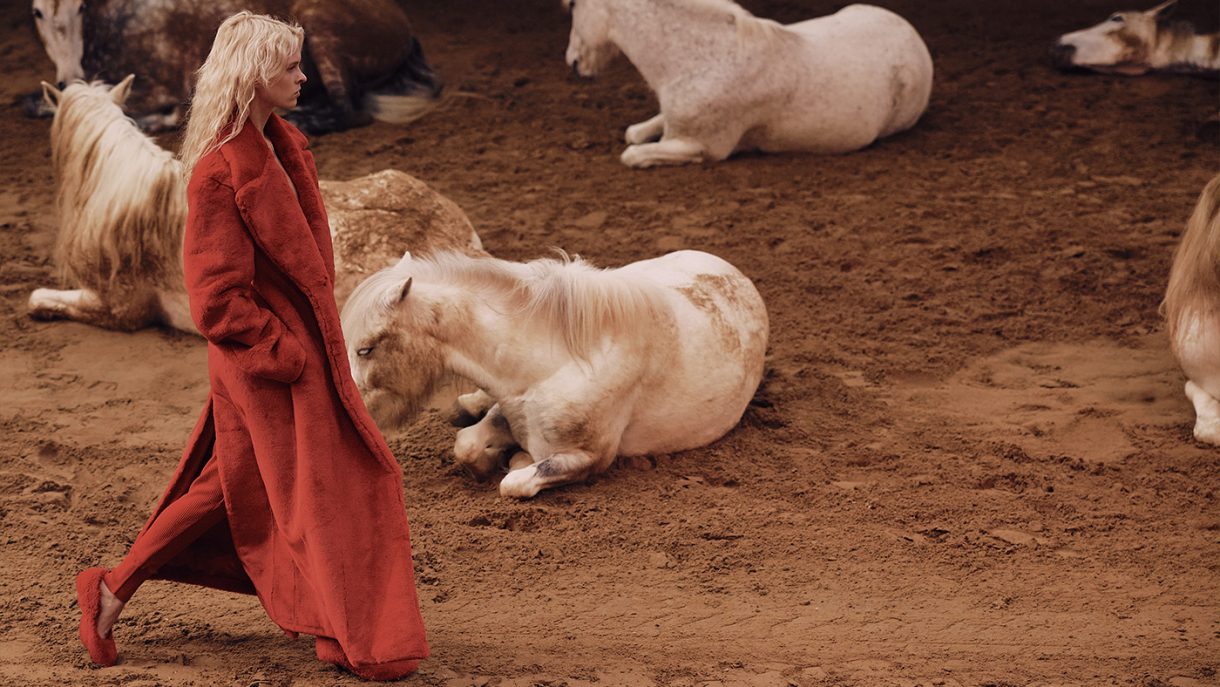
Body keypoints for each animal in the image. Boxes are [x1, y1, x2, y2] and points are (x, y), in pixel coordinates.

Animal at [28, 0, 443, 133]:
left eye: (80, 7)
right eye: (37, 12)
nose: (69, 78)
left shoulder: (160, 85)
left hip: (320, 29)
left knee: (349, 111)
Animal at [339, 249, 770, 498]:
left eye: (366, 348)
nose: (353, 413)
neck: (556, 363)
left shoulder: (589, 458)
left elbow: (514, 482)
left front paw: (510, 460)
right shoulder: (510, 407)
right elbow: (467, 444)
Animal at [562, 0, 933, 168]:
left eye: (573, 5)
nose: (573, 63)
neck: (702, 57)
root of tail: (912, 34)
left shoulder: (701, 145)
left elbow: (633, 154)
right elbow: (636, 133)